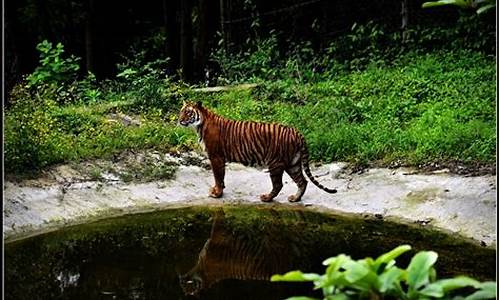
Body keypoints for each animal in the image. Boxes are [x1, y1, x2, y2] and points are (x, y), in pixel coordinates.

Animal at [178, 101, 338, 202]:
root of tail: (297, 132)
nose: (179, 120)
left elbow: (218, 176)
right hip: (293, 163)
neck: (199, 125)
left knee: (278, 184)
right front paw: (219, 191)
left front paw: (217, 193)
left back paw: (267, 198)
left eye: (188, 113)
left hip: (275, 163)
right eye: (181, 112)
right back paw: (295, 198)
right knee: (302, 181)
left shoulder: (216, 156)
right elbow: (220, 177)